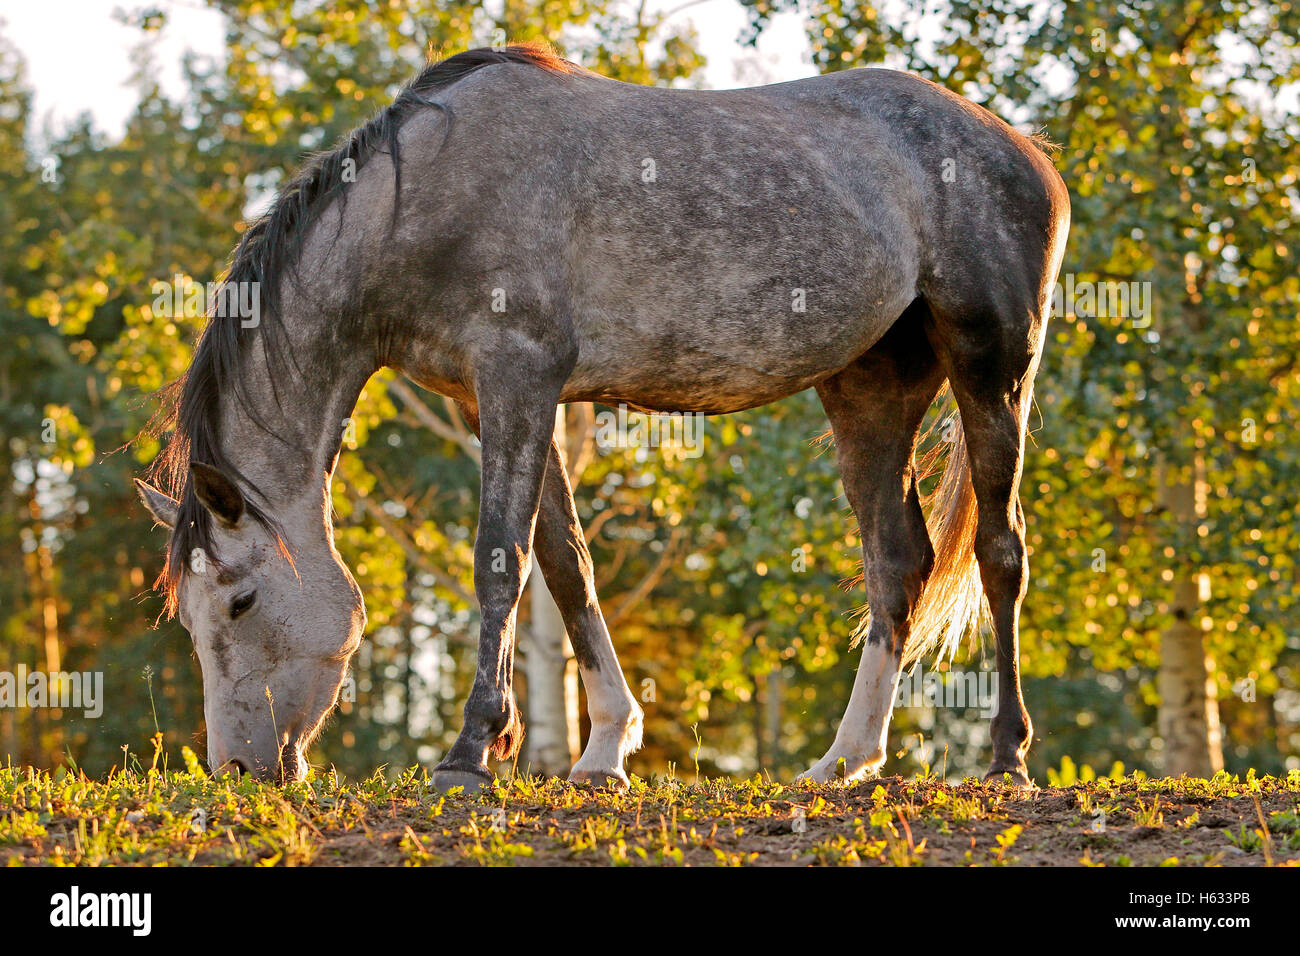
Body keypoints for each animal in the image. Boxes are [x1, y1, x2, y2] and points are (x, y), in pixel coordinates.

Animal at [134, 42, 1070, 791]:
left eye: (241, 602)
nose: (239, 769)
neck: (427, 198)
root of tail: (1022, 149)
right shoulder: (504, 399)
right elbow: (565, 566)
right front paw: (603, 749)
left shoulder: (518, 377)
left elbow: (500, 561)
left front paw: (469, 753)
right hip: (871, 392)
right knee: (896, 562)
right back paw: (846, 759)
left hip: (993, 371)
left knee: (1001, 552)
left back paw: (1006, 756)